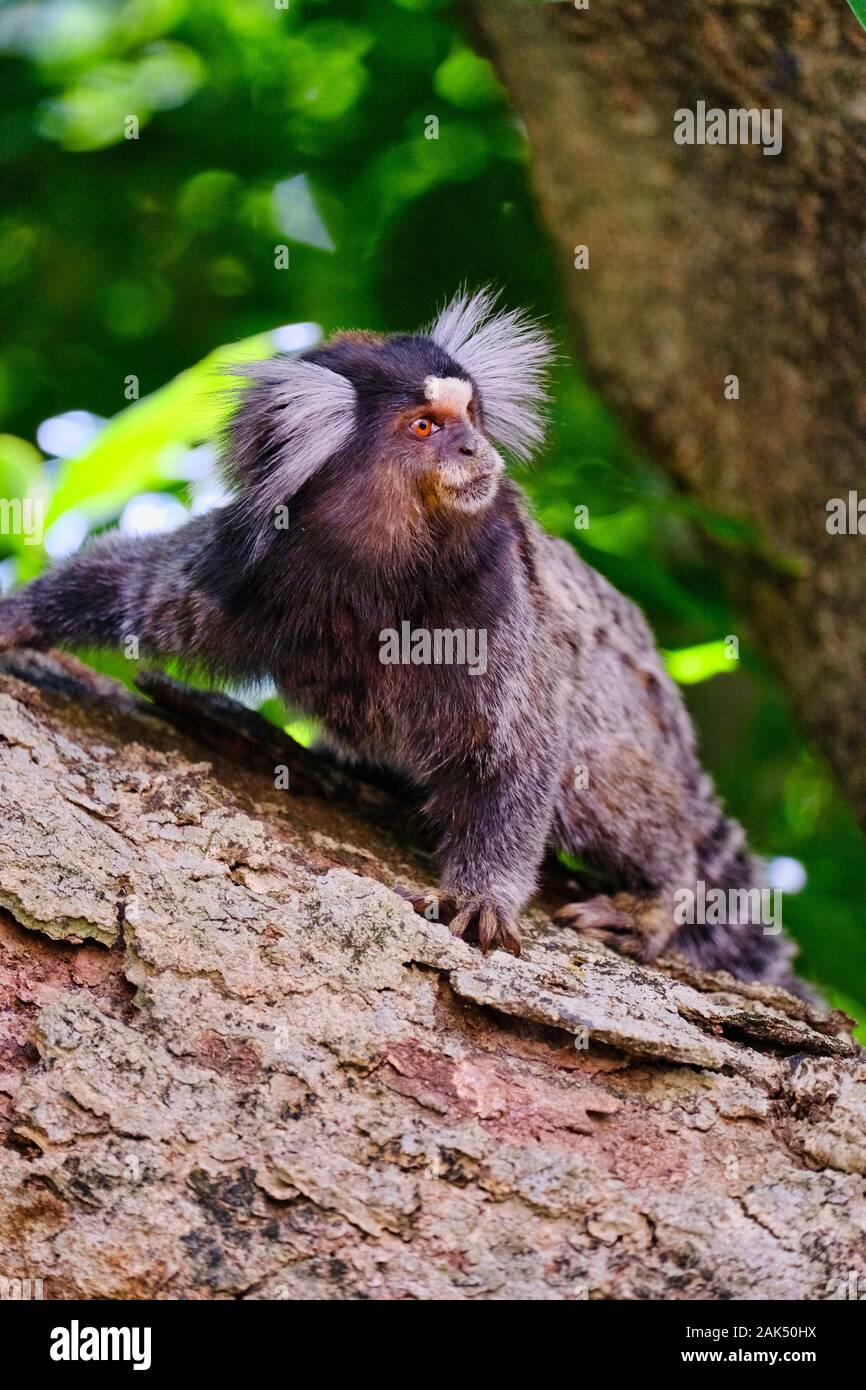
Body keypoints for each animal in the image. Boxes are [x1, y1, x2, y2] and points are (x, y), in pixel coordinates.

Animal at [0, 288, 802, 991]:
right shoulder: (250, 569)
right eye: (425, 427)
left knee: (604, 784)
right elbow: (132, 589)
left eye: (469, 414)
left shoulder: (495, 596)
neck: (377, 573)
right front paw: (18, 619)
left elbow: (522, 749)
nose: (476, 449)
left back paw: (660, 891)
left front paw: (486, 895)